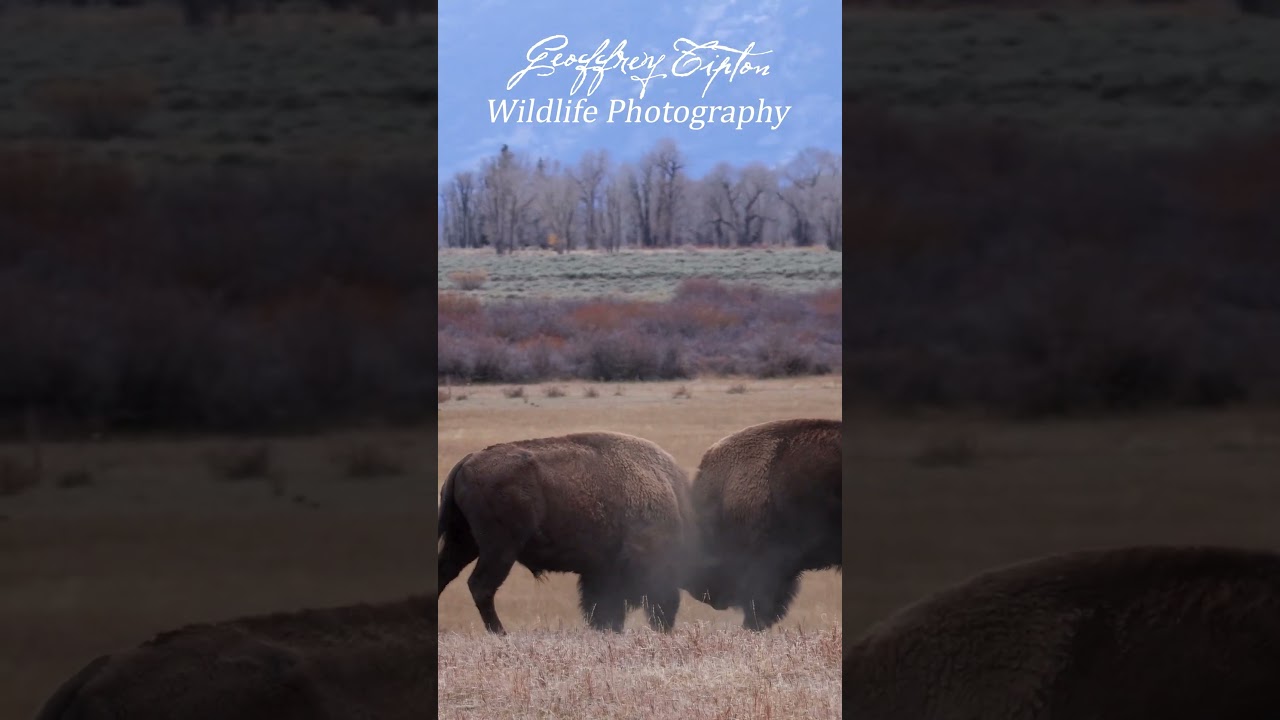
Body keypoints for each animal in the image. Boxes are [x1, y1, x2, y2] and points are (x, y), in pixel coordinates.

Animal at [437, 431, 694, 634]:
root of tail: (465, 462)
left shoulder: (599, 572)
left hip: (464, 542)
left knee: (445, 574)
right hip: (499, 549)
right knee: (481, 586)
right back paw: (501, 633)